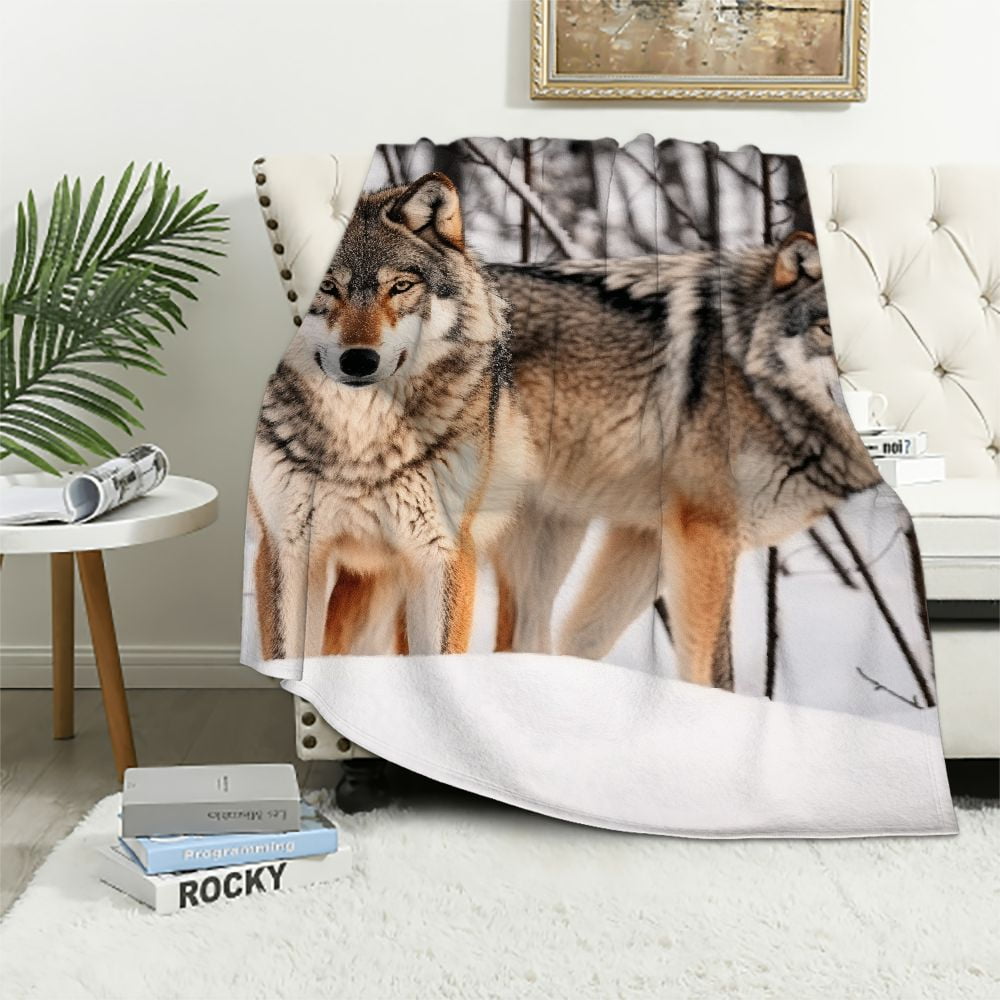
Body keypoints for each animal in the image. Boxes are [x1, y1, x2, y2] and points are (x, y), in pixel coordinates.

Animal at [249, 172, 531, 661]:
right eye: (327, 287)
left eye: (399, 287)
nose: (359, 360)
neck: (360, 439)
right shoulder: (287, 548)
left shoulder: (441, 552)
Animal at [490, 234, 881, 688]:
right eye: (827, 330)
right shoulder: (706, 531)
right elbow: (711, 671)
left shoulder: (650, 535)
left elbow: (584, 638)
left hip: (553, 537)